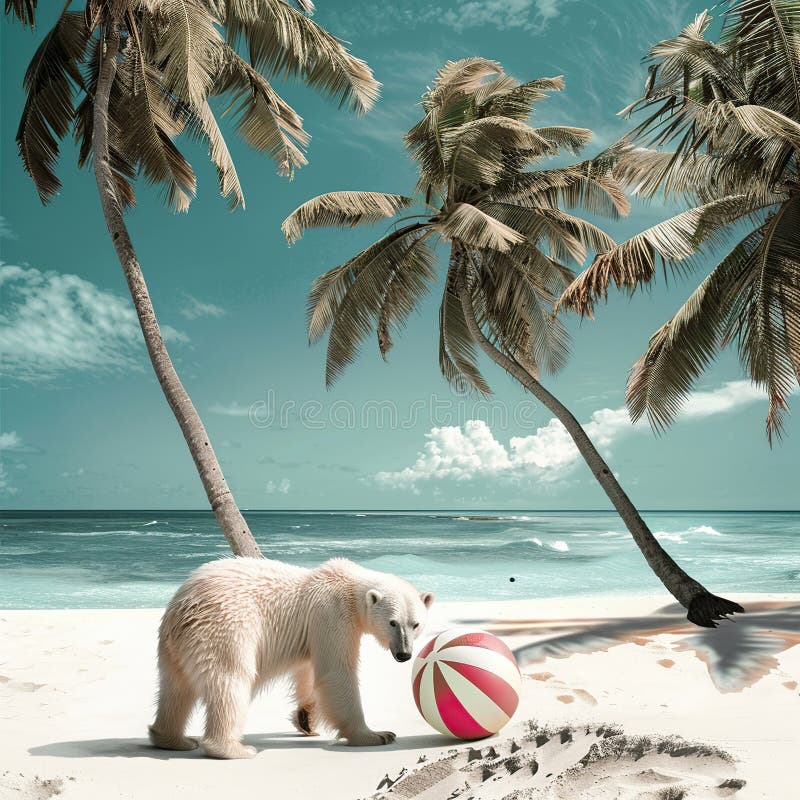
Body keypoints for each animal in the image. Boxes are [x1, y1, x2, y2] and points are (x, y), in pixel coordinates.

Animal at [148, 556, 434, 759]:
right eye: (392, 623)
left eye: (416, 624)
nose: (404, 654)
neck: (349, 586)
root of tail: (183, 607)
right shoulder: (332, 615)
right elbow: (336, 672)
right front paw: (376, 735)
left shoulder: (314, 630)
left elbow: (309, 671)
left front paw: (306, 720)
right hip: (225, 628)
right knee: (230, 680)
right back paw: (233, 749)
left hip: (174, 644)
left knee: (175, 688)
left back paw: (174, 740)